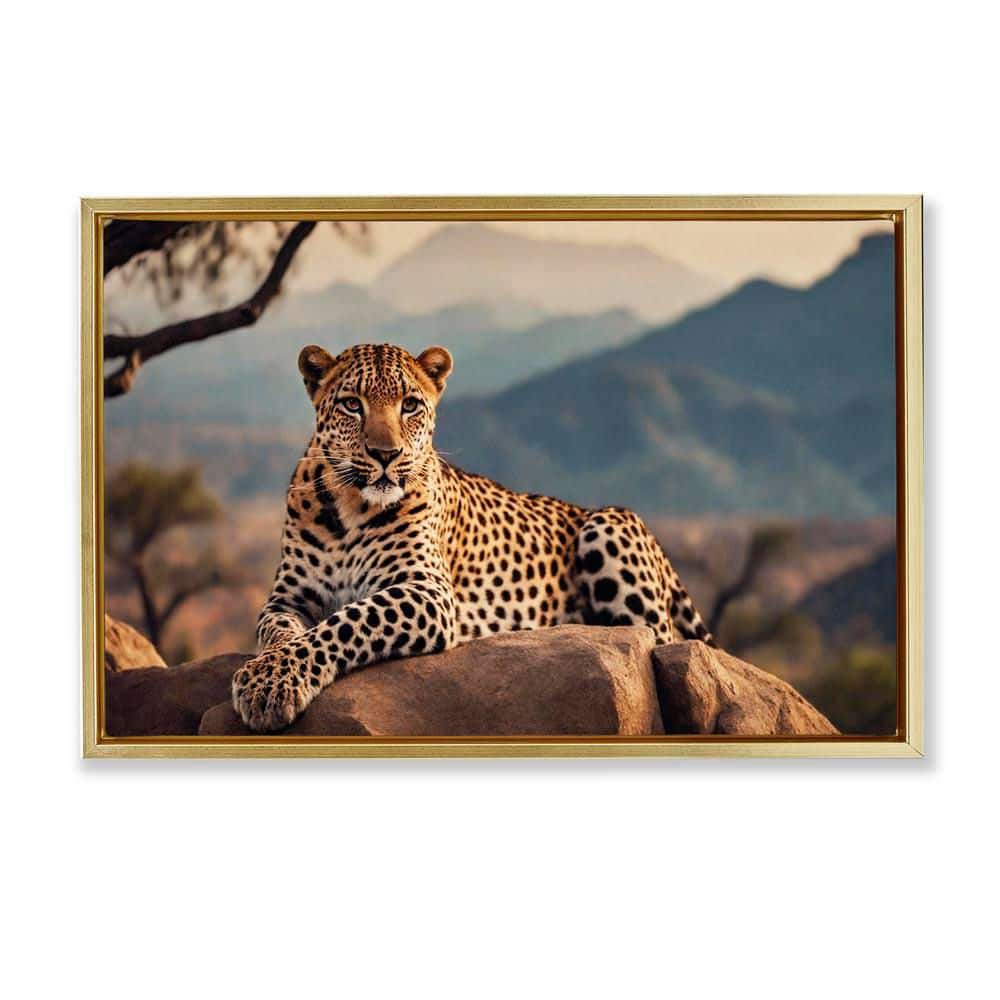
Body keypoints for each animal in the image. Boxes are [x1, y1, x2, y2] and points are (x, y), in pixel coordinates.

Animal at [233, 342, 714, 732]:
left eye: (410, 405)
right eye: (352, 404)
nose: (386, 454)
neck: (352, 506)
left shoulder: (427, 591)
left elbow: (347, 621)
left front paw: (269, 683)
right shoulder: (288, 596)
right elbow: (280, 630)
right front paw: (268, 672)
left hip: (609, 528)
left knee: (657, 639)